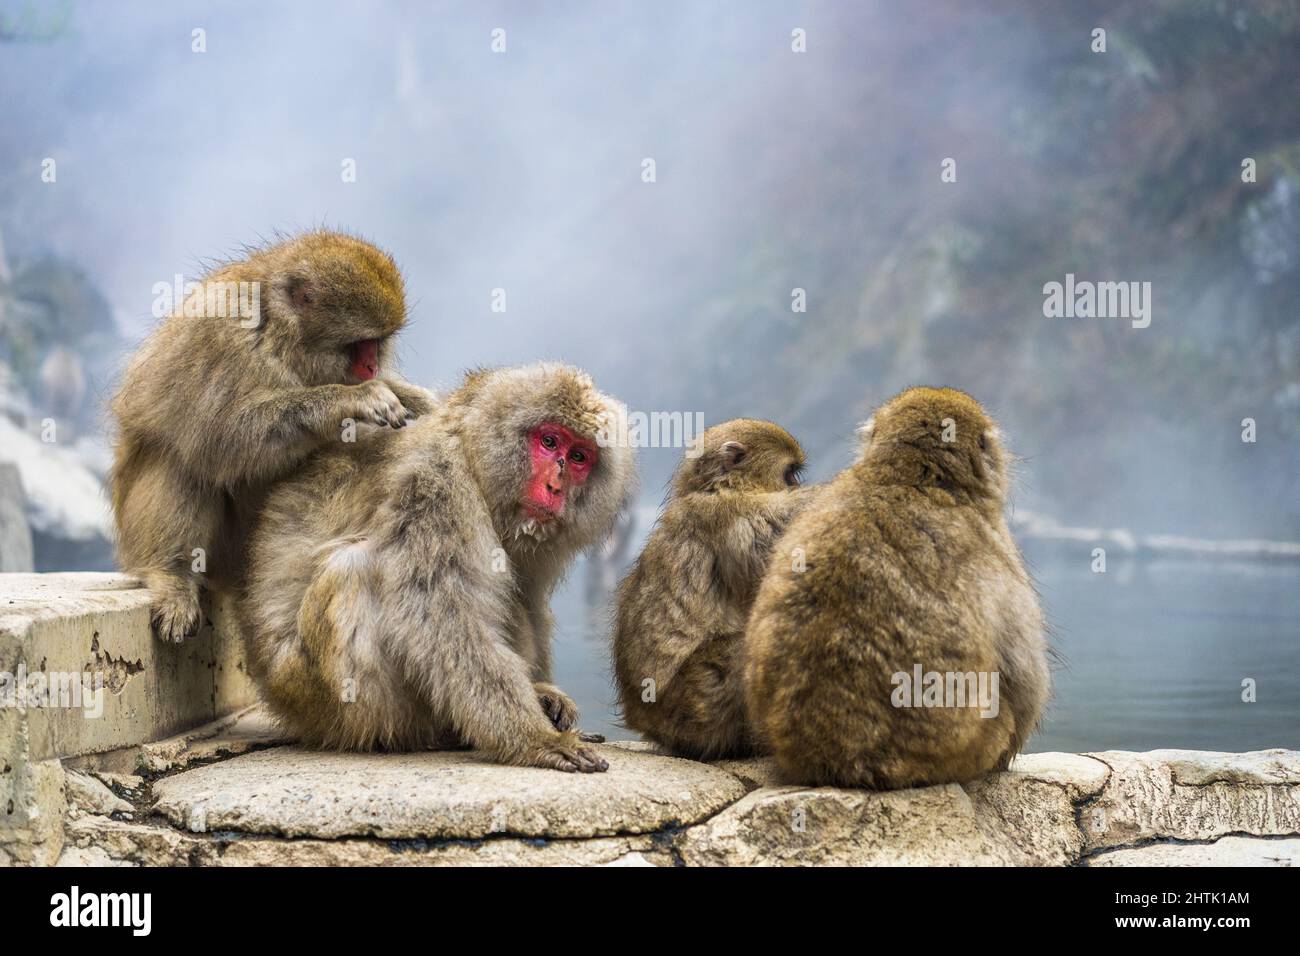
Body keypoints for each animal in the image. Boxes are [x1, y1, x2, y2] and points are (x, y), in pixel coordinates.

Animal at [109, 230, 435, 643]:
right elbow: (220, 438)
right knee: (182, 456)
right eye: (359, 344)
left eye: (379, 343)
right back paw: (172, 574)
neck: (282, 331)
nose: (371, 366)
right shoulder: (224, 330)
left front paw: (416, 398)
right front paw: (354, 399)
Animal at [239, 363, 636, 771]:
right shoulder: (435, 484)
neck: (473, 455)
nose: (556, 486)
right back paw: (419, 733)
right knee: (354, 569)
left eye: (578, 457)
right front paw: (534, 738)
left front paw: (542, 696)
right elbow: (444, 618)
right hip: (318, 698)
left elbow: (527, 597)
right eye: (550, 442)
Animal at [613, 419, 811, 760]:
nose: (797, 487)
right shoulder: (738, 517)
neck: (720, 486)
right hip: (698, 700)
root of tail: (645, 721)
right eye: (790, 475)